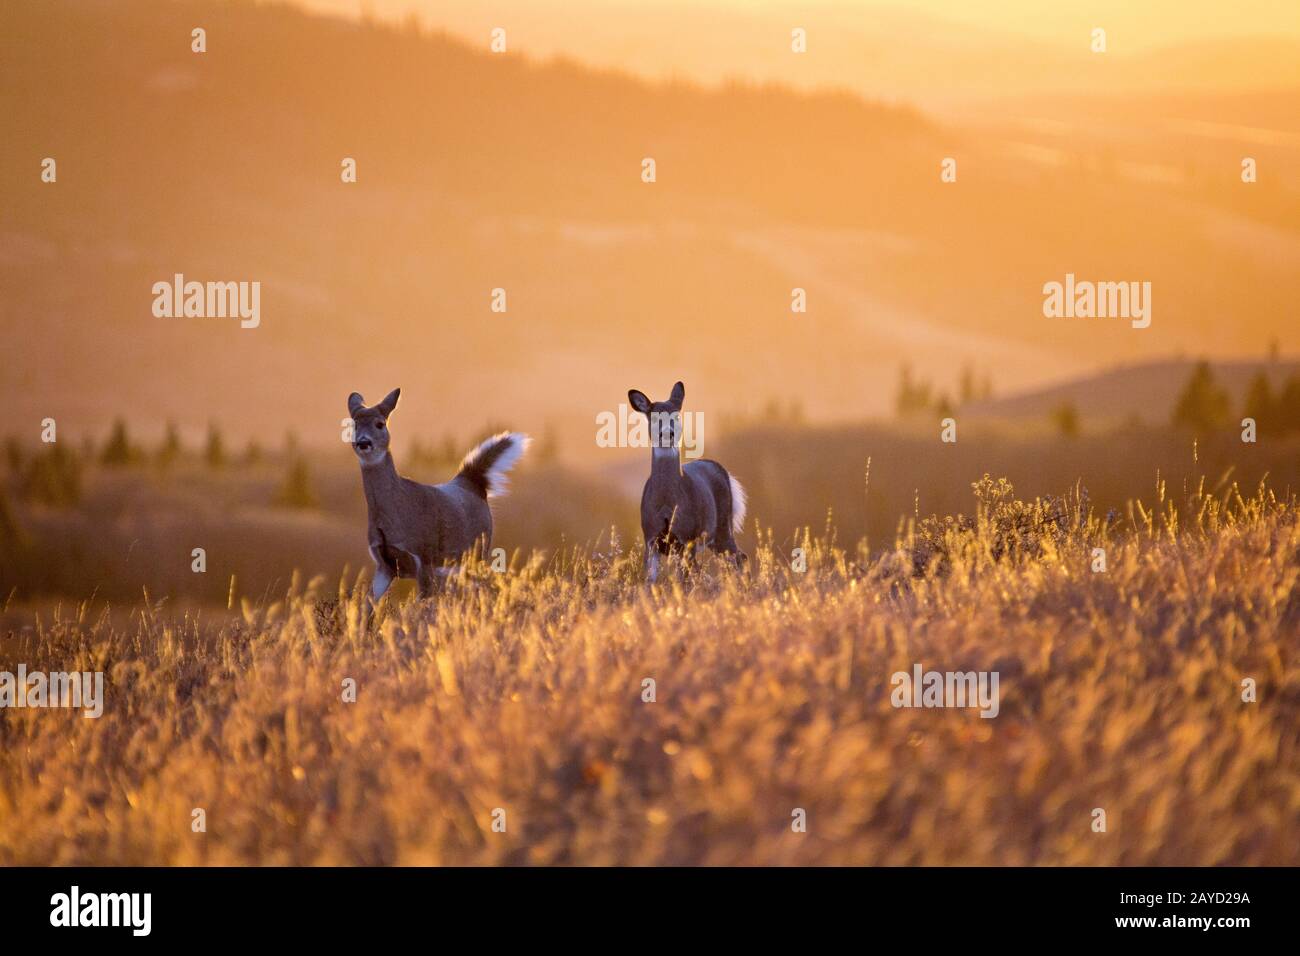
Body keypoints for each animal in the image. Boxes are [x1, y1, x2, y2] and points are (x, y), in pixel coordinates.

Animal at [347, 388, 529, 602]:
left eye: (380, 423)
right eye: (355, 424)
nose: (364, 442)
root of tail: (471, 480)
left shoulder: (424, 559)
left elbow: (418, 607)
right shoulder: (385, 565)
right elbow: (366, 605)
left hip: (477, 553)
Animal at [627, 381, 747, 582]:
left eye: (676, 415)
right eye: (653, 417)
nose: (667, 433)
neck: (667, 504)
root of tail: (723, 471)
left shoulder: (685, 538)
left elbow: (683, 580)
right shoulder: (650, 537)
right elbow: (649, 581)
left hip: (722, 525)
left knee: (739, 557)